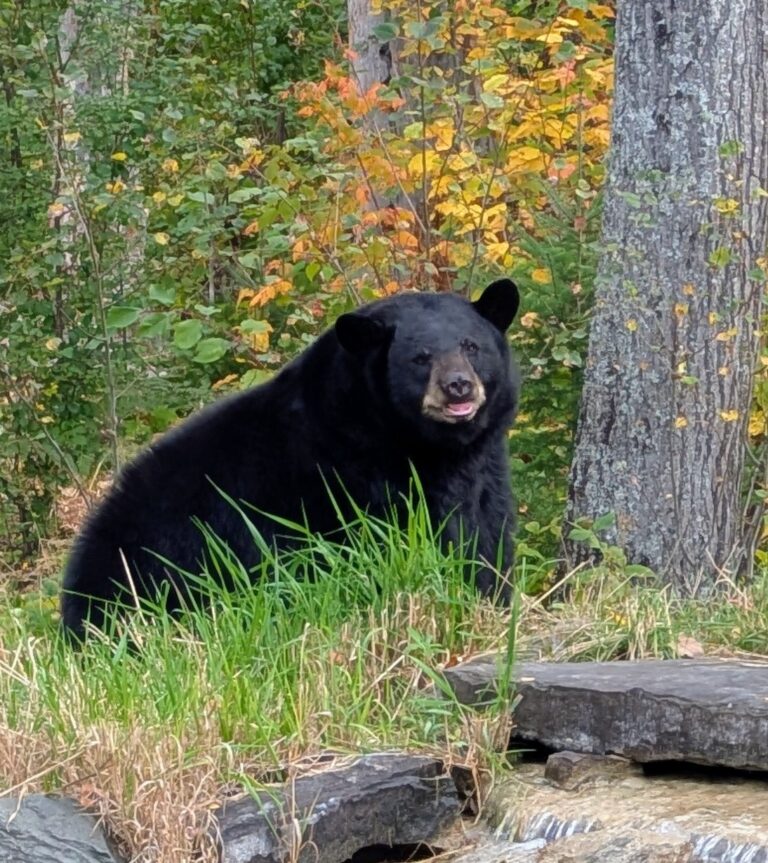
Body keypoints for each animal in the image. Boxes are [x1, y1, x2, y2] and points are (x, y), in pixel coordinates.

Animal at [61, 279, 520, 639]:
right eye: (420, 357)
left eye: (471, 346)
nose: (458, 386)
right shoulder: (344, 482)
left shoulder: (484, 473)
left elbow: (485, 539)